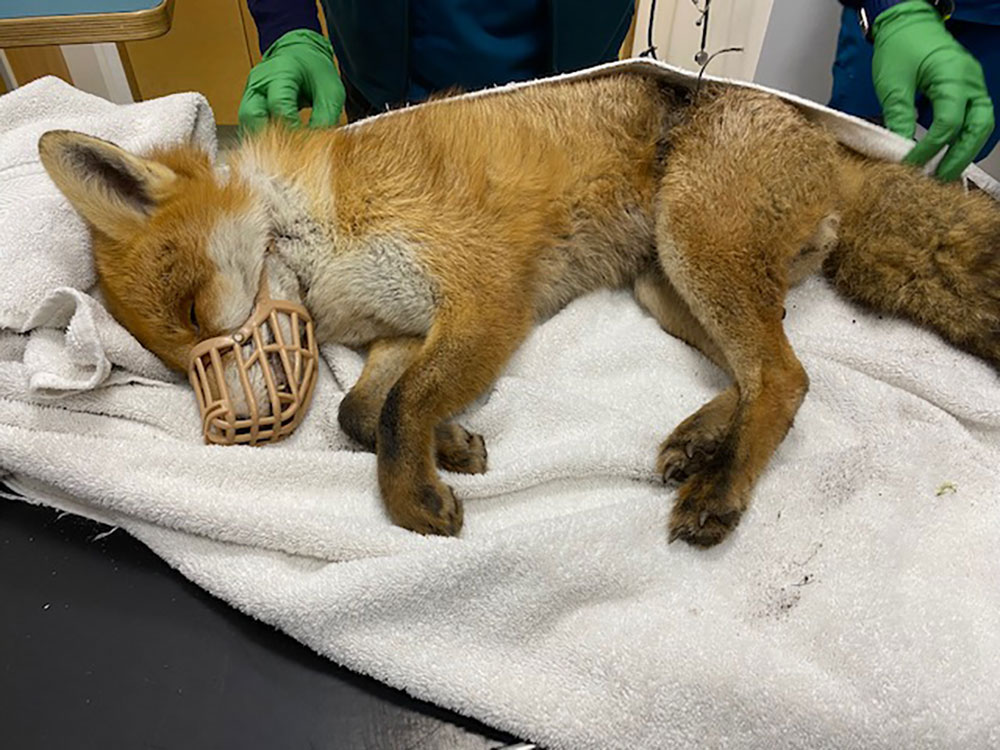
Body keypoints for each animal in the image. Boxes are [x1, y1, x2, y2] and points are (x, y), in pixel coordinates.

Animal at [37, 69, 1000, 547]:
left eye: (199, 313)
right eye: (176, 358)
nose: (239, 431)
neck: (315, 228)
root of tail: (825, 140)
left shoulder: (485, 299)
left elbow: (399, 413)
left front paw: (414, 496)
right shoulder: (404, 328)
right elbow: (364, 414)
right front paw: (452, 447)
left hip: (696, 246)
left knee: (789, 377)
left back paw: (723, 487)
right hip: (666, 283)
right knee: (767, 372)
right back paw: (702, 440)